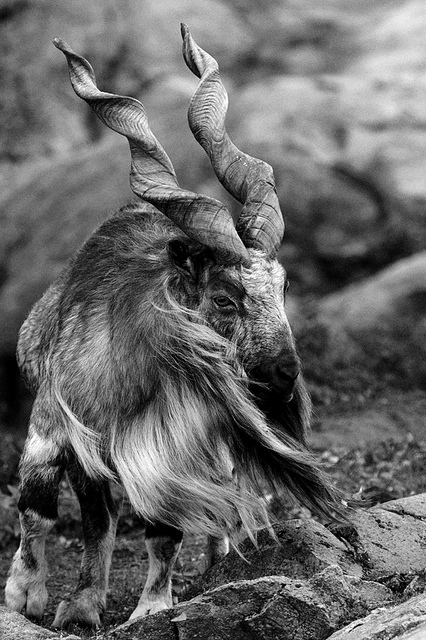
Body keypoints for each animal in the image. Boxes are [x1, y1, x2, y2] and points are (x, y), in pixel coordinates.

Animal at [5, 25, 348, 628]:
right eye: (225, 298)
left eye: (283, 287)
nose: (285, 375)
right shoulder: (55, 424)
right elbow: (43, 510)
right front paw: (38, 597)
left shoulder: (173, 454)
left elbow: (161, 531)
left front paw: (149, 607)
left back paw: (220, 562)